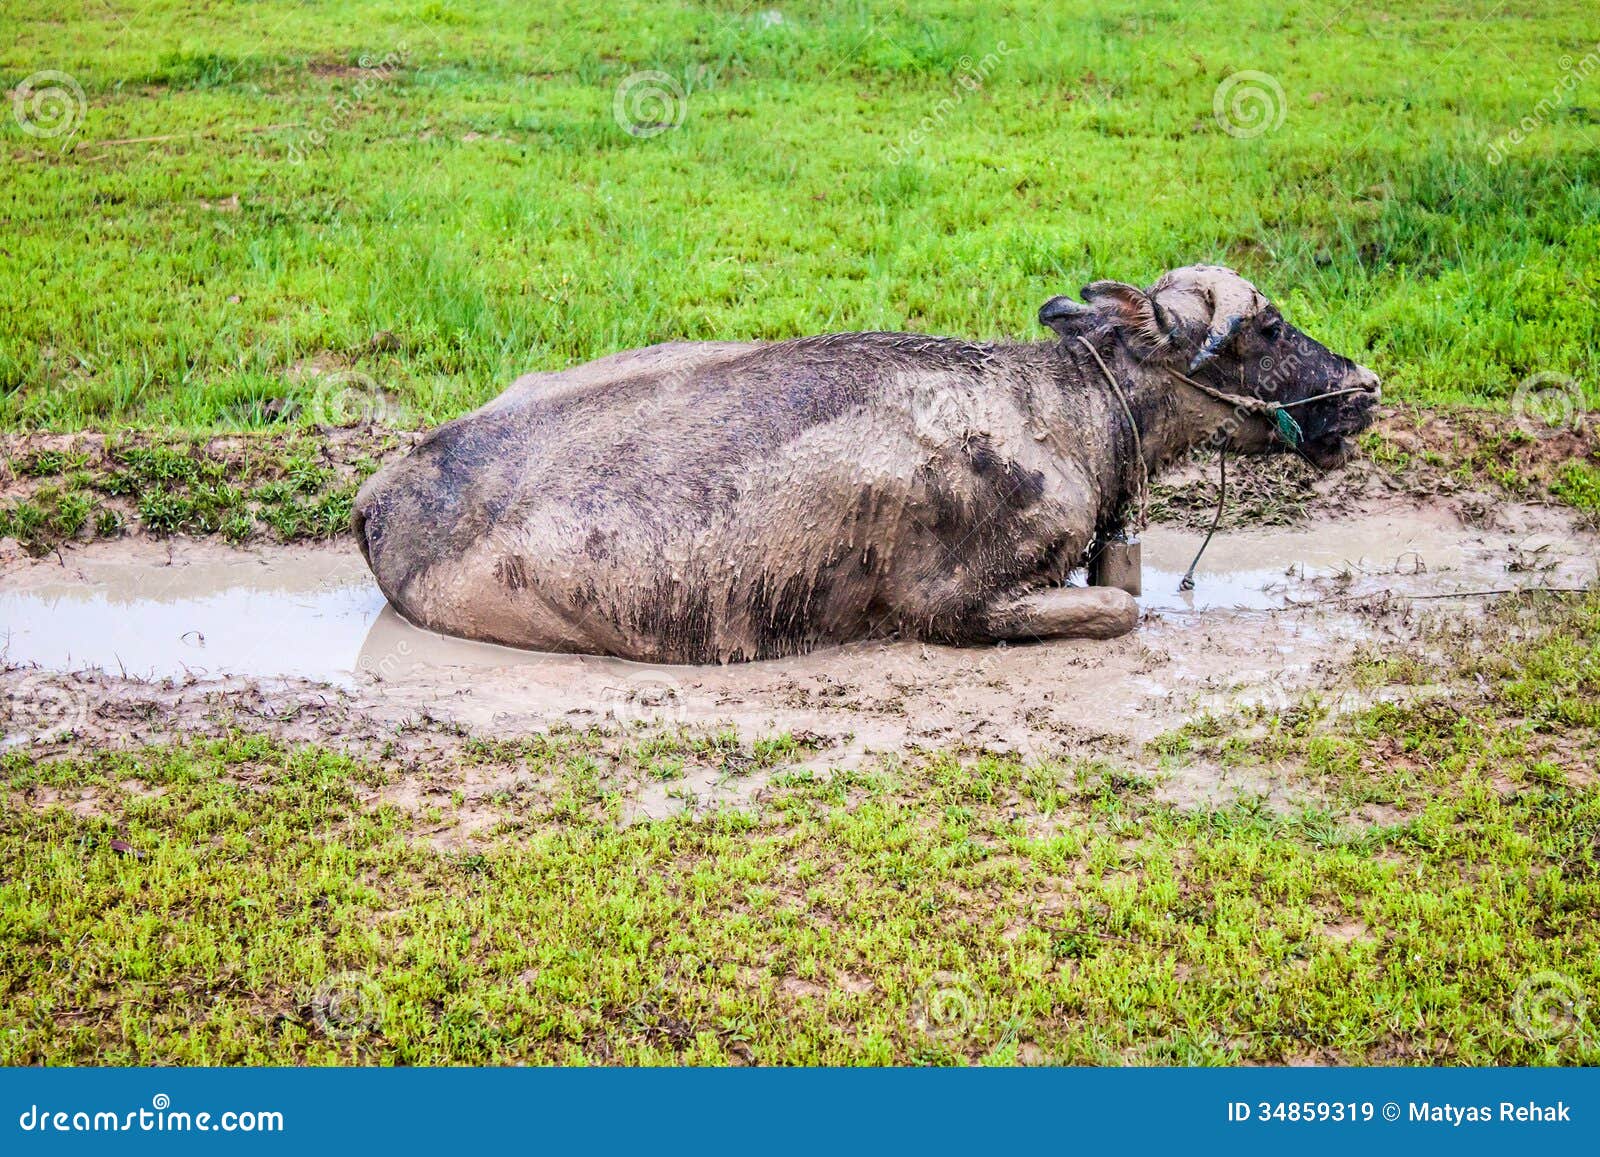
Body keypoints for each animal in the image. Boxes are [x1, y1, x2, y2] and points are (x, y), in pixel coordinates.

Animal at [352, 265, 1380, 663]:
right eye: (1268, 327)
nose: (1366, 385)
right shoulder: (954, 606)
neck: (1061, 415)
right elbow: (1123, 609)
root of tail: (380, 493)